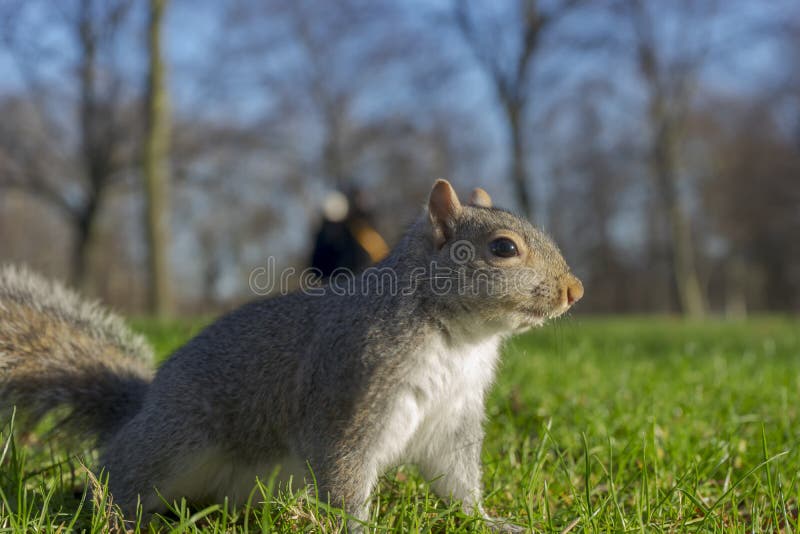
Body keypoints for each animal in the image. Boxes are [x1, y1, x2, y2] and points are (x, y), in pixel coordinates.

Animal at [0, 179, 583, 532]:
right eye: (503, 248)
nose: (574, 291)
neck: (460, 340)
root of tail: (137, 411)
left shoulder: (452, 417)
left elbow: (456, 480)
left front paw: (489, 520)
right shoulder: (349, 392)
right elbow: (343, 469)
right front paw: (361, 527)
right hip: (172, 440)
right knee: (120, 477)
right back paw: (113, 516)